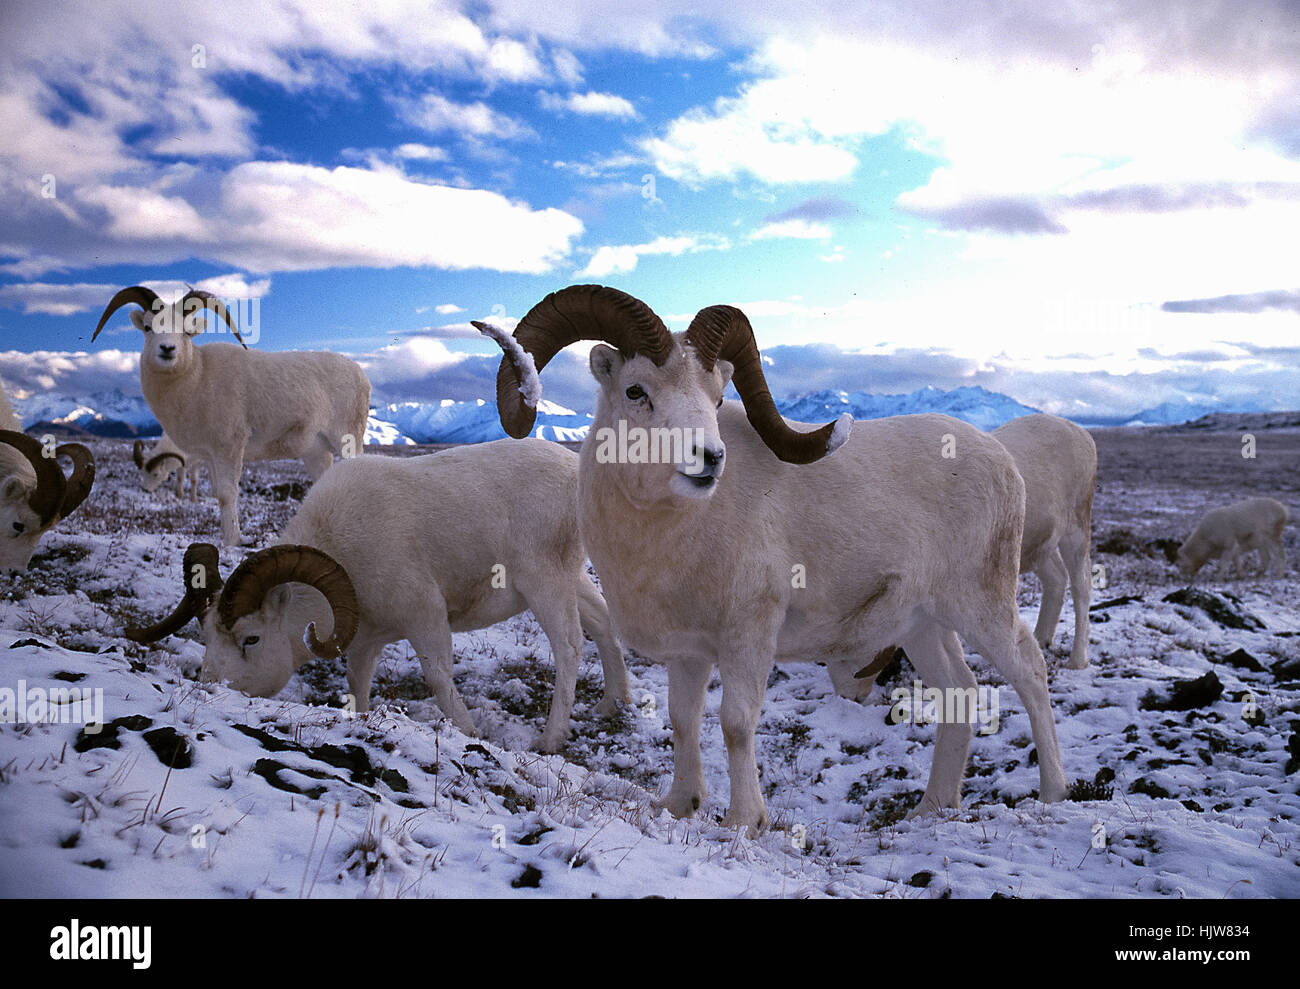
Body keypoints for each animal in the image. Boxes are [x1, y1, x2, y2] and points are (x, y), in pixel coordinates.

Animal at [91, 285, 371, 546]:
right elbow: (217, 493)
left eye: (186, 331)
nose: (167, 349)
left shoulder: (230, 448)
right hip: (316, 453)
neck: (197, 378)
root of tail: (361, 375)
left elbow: (227, 494)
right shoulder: (209, 457)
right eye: (148, 328)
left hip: (346, 441)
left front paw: (233, 541)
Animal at [125, 439, 631, 752]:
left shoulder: (426, 616)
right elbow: (358, 684)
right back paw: (614, 704)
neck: (345, 542)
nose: (210, 690)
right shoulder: (366, 639)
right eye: (207, 636)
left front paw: (469, 733)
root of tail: (575, 474)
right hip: (572, 580)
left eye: (251, 639)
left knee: (570, 647)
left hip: (545, 584)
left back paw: (550, 740)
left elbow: (439, 680)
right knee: (604, 624)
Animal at [479, 285, 1068, 833]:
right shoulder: (689, 654)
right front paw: (681, 804)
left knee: (1030, 669)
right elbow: (683, 719)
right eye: (636, 391)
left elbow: (736, 723)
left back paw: (1053, 793)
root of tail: (1003, 462)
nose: (708, 458)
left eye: (717, 398)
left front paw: (744, 822)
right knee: (960, 693)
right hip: (924, 626)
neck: (668, 539)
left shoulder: (749, 635)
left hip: (981, 605)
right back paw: (931, 809)